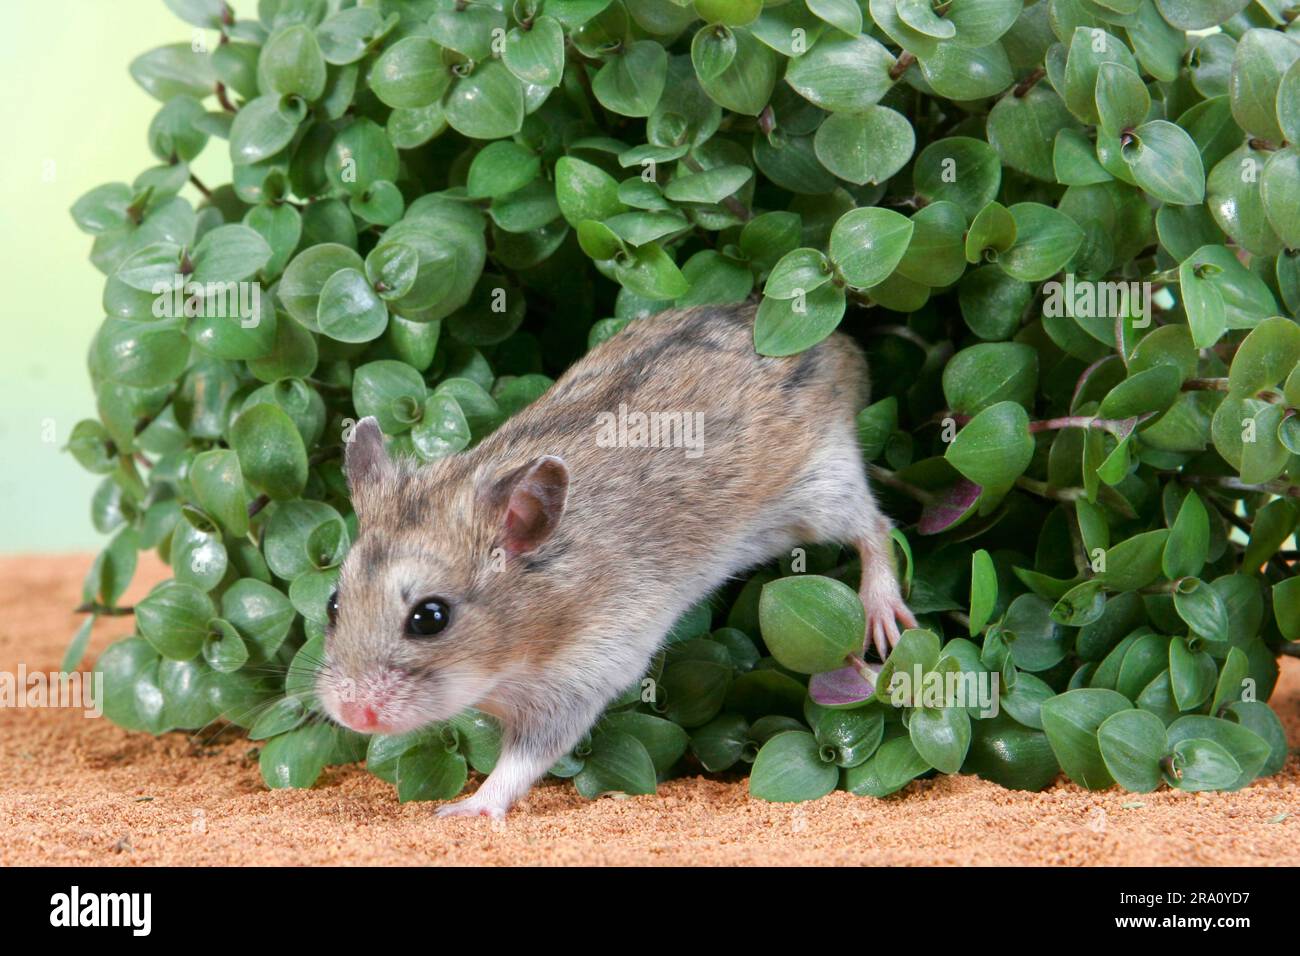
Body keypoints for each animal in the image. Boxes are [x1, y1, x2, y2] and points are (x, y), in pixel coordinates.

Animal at [317, 302, 915, 818]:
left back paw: (885, 625)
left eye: (430, 617)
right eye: (333, 604)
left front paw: (461, 811)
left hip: (822, 489)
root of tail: (842, 348)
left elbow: (518, 765)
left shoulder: (577, 682)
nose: (351, 714)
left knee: (878, 529)